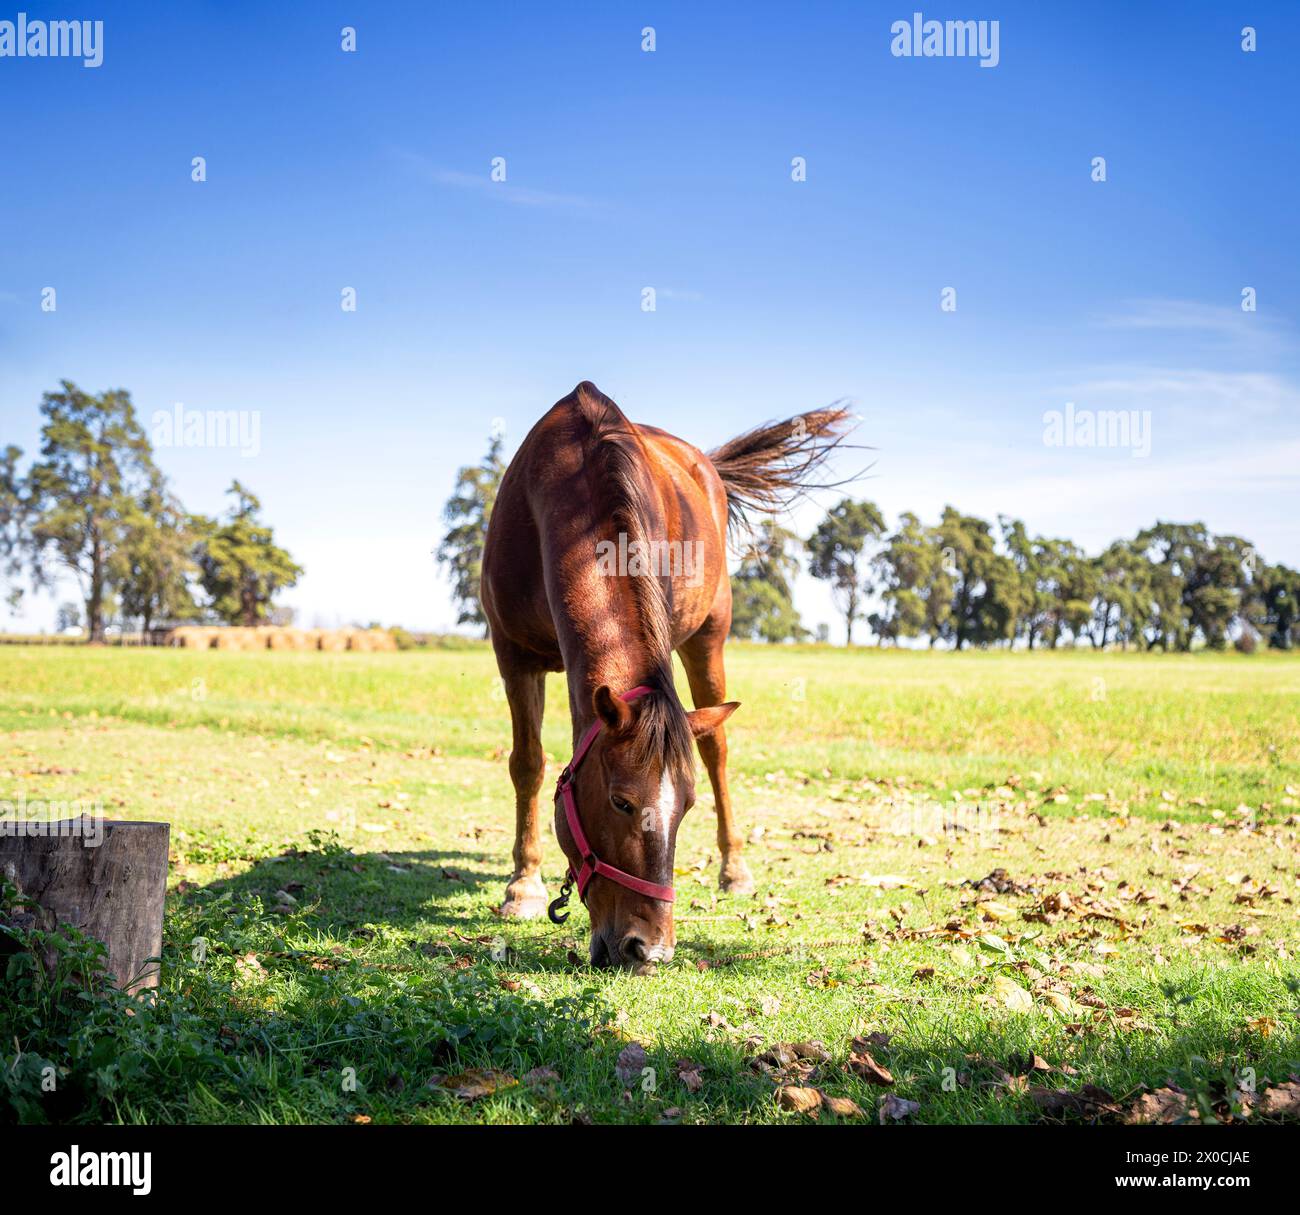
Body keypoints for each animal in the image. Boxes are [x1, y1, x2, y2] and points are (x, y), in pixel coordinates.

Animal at [480, 382, 850, 972]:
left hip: (708, 640)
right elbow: (528, 764)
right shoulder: (512, 654)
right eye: (620, 802)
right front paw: (523, 885)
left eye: (688, 806)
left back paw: (733, 869)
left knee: (716, 749)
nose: (648, 949)